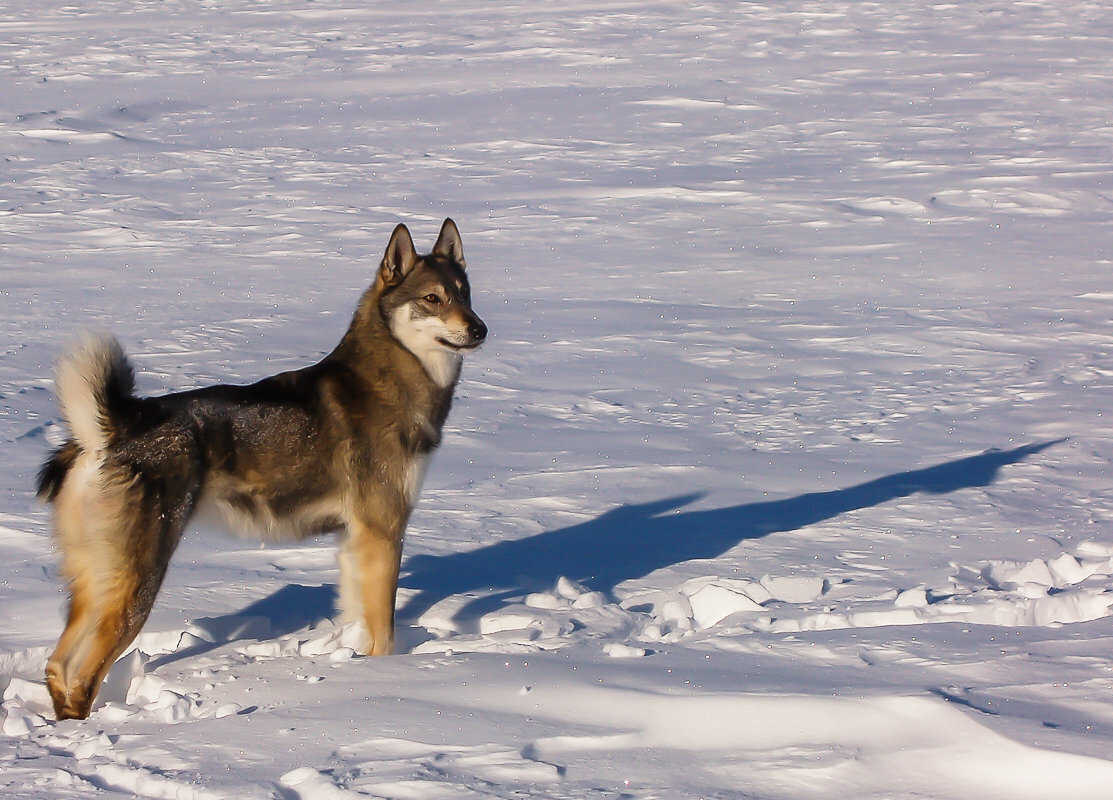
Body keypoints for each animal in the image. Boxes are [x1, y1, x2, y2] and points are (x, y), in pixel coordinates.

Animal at [34, 219, 485, 721]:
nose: (480, 329)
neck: (387, 376)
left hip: (95, 580)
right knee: (82, 674)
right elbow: (383, 632)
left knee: (58, 665)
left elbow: (361, 621)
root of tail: (111, 429)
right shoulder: (383, 531)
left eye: (465, 294)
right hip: (137, 583)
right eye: (432, 299)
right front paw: (385, 675)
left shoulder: (356, 540)